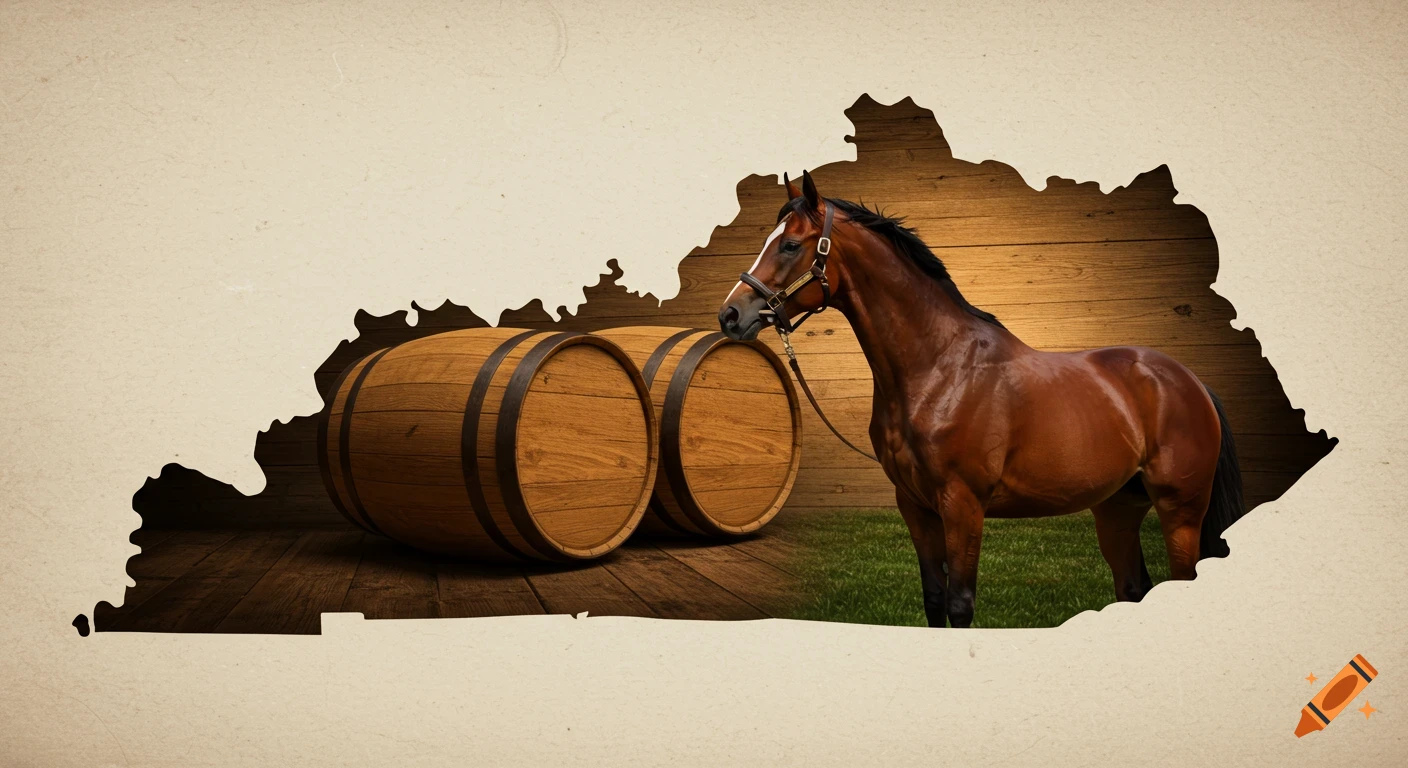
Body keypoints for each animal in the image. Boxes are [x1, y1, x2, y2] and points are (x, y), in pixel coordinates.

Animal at [718, 170, 1245, 628]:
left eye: (790, 244)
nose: (731, 315)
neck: (939, 368)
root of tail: (1189, 381)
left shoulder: (963, 505)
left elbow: (960, 604)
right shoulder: (916, 506)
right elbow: (934, 599)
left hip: (1180, 511)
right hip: (1117, 508)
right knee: (1133, 587)